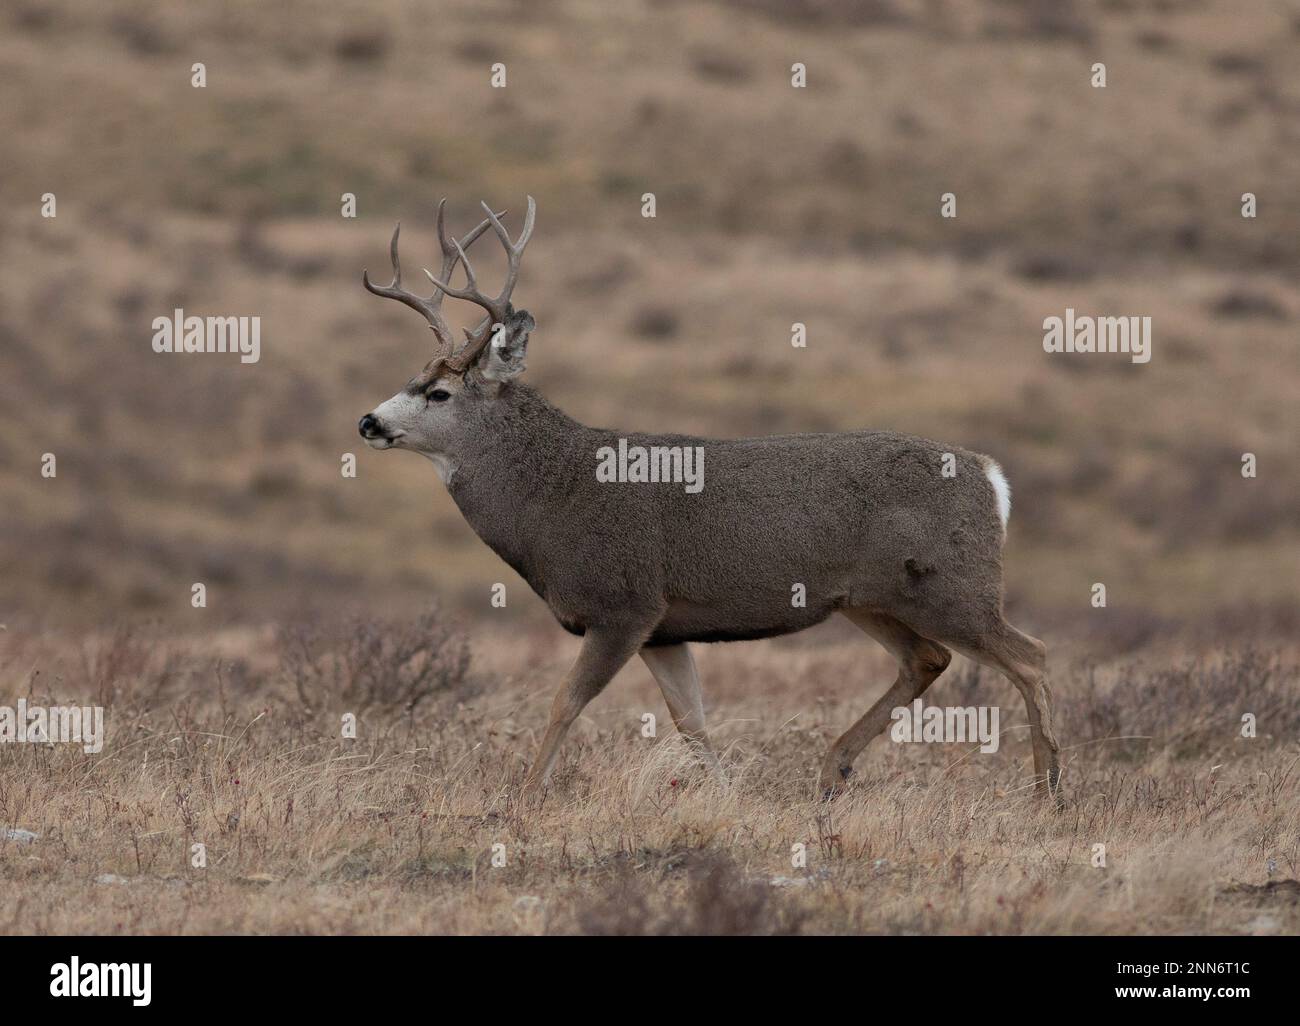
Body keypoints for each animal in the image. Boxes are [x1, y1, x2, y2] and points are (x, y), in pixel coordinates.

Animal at [357, 196, 1062, 805]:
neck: (552, 497)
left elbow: (565, 702)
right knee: (929, 658)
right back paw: (832, 770)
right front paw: (733, 800)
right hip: (871, 597)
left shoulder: (623, 604)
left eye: (440, 393)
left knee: (1031, 656)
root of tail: (991, 477)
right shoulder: (666, 628)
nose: (368, 421)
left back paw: (1048, 791)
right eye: (411, 377)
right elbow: (690, 720)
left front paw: (523, 799)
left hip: (950, 584)